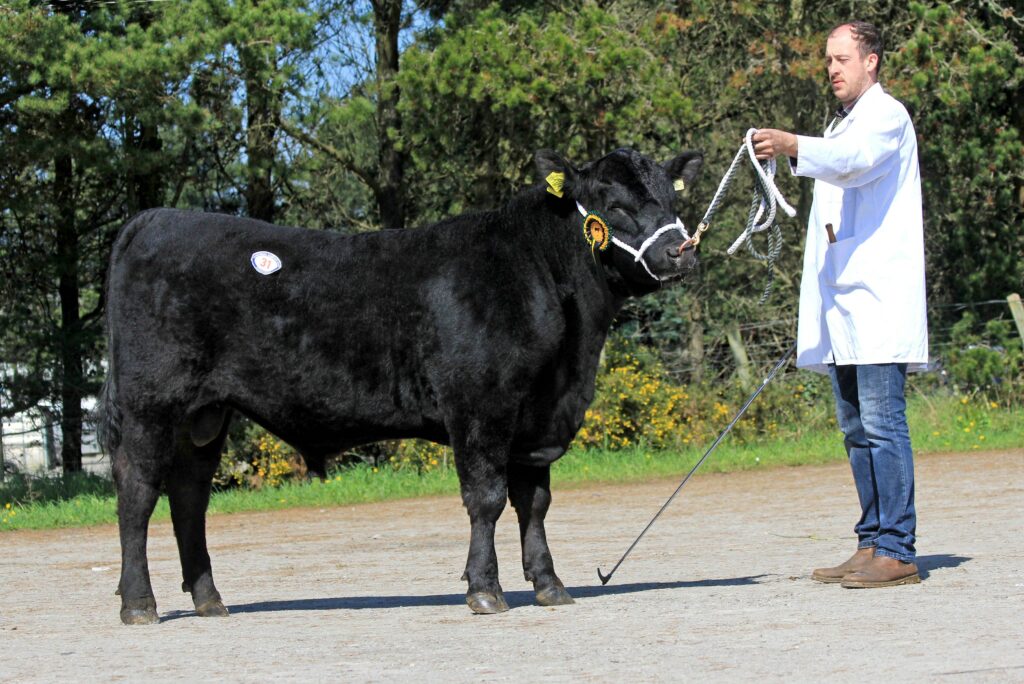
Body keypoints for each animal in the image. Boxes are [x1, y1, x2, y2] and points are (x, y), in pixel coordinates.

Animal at [99, 147, 703, 625]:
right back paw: (139, 604)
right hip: (152, 402)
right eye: (613, 204)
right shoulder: (480, 404)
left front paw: (550, 585)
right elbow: (486, 497)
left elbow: (535, 503)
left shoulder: (538, 417)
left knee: (189, 497)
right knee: (137, 492)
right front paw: (485, 590)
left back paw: (209, 599)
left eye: (670, 201)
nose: (682, 250)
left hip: (205, 414)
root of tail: (152, 220)